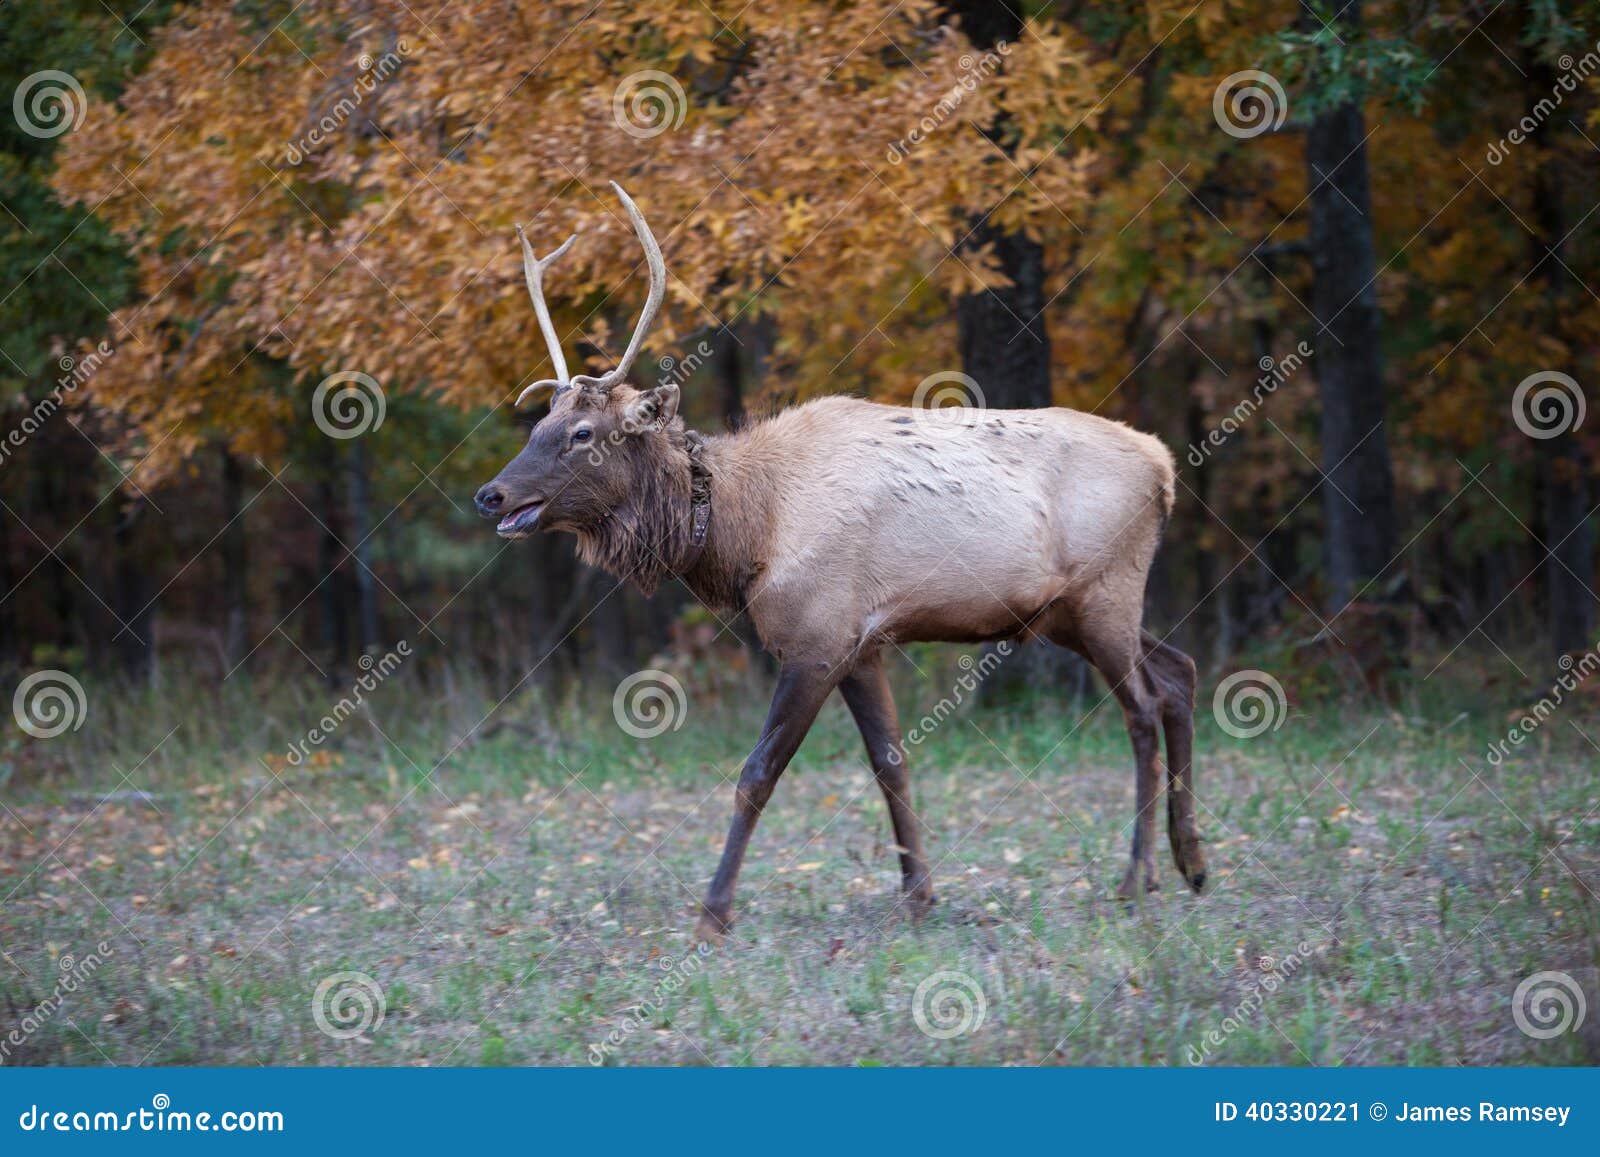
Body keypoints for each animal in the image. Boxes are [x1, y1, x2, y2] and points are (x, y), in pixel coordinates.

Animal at [475, 184, 1206, 944]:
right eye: (538, 425)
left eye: (583, 433)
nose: (490, 493)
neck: (749, 533)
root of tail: (1165, 467)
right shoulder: (863, 643)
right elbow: (891, 762)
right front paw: (918, 896)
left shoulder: (818, 636)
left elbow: (757, 773)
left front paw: (712, 913)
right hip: (1074, 610)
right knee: (1179, 672)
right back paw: (1191, 862)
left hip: (1106, 592)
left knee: (1143, 708)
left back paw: (1136, 878)